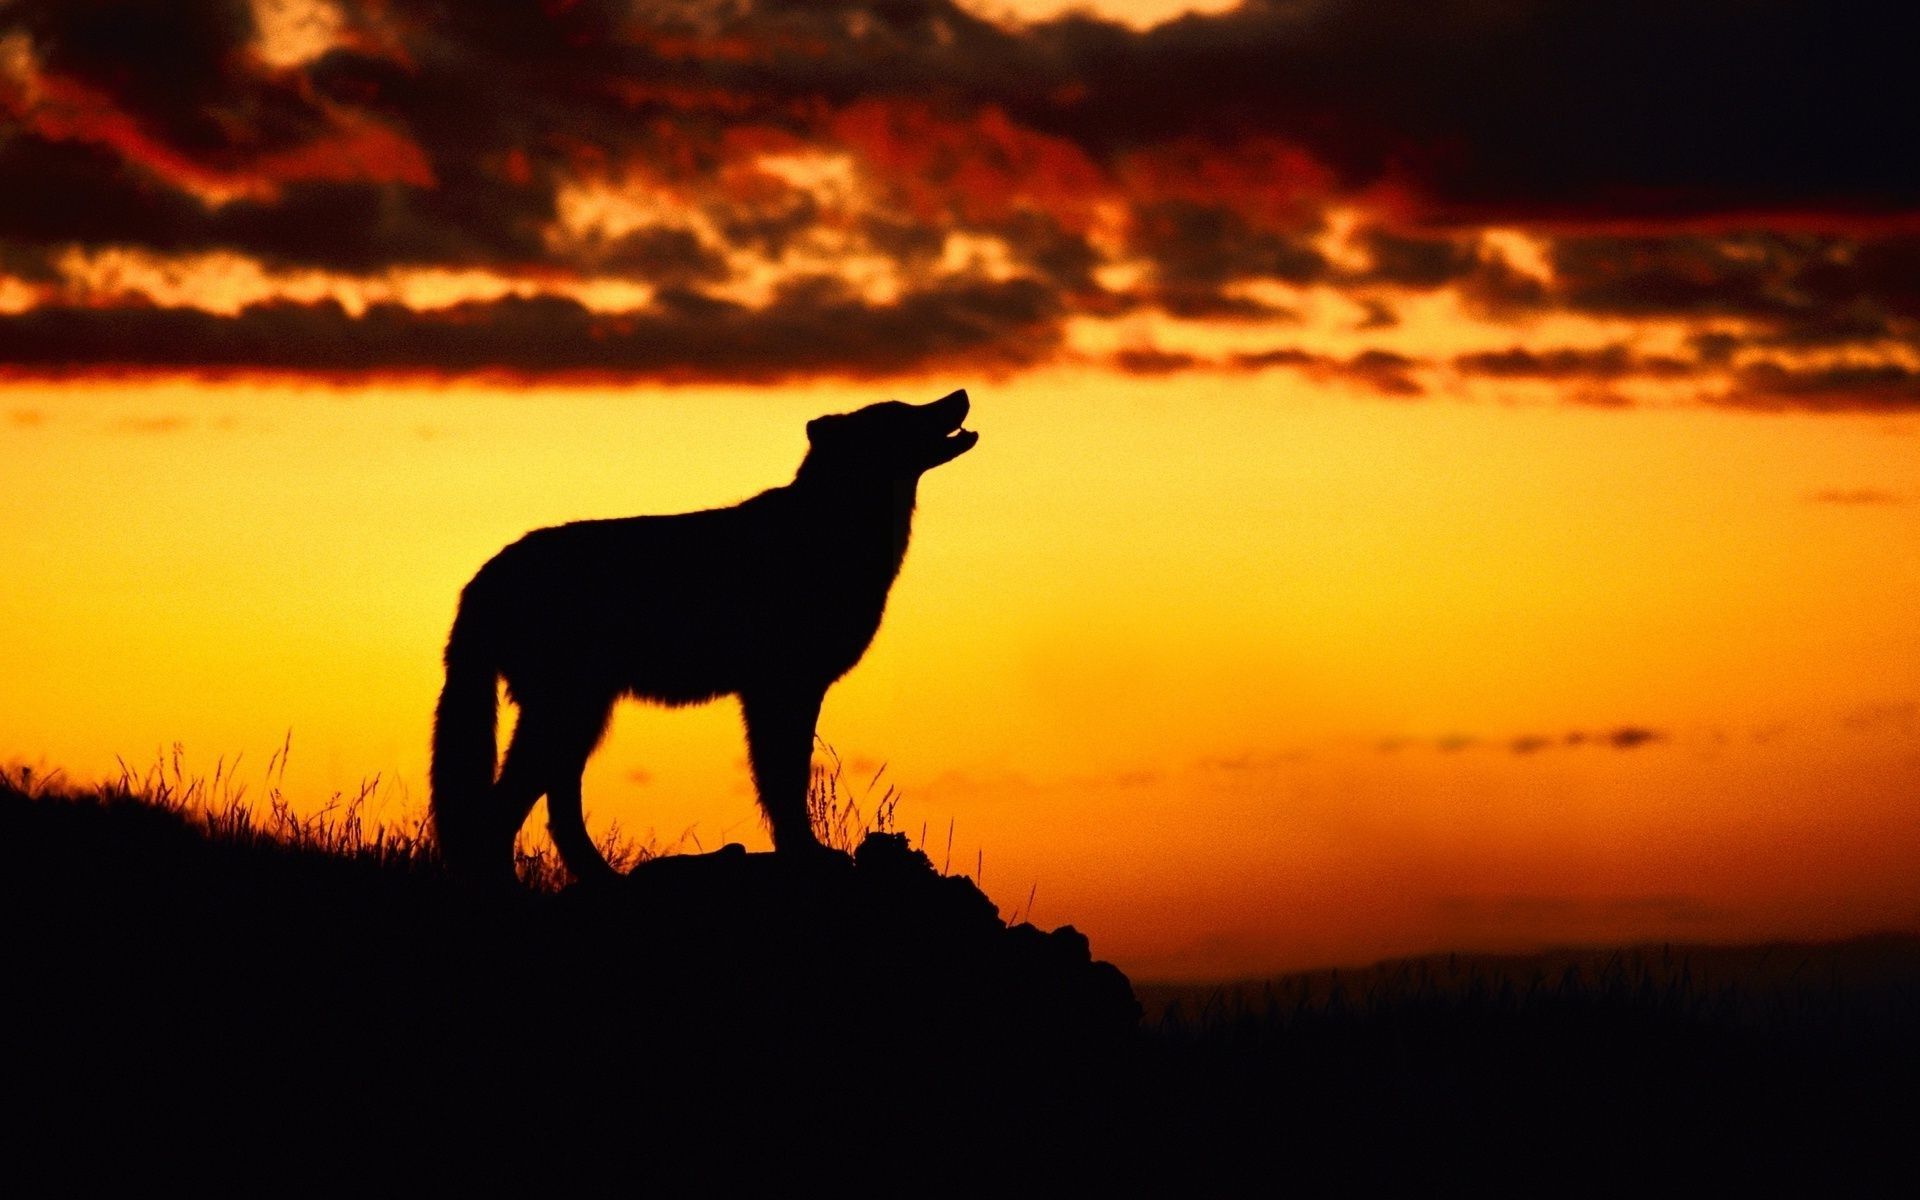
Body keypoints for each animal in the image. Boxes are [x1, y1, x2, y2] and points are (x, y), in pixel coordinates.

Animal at [430, 388, 977, 885]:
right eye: (901, 412)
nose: (961, 393)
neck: (830, 532)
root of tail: (482, 578)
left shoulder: (779, 693)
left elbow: (782, 780)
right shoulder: (783, 689)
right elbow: (785, 781)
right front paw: (808, 855)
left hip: (578, 717)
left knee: (550, 809)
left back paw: (603, 879)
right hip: (568, 714)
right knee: (500, 810)